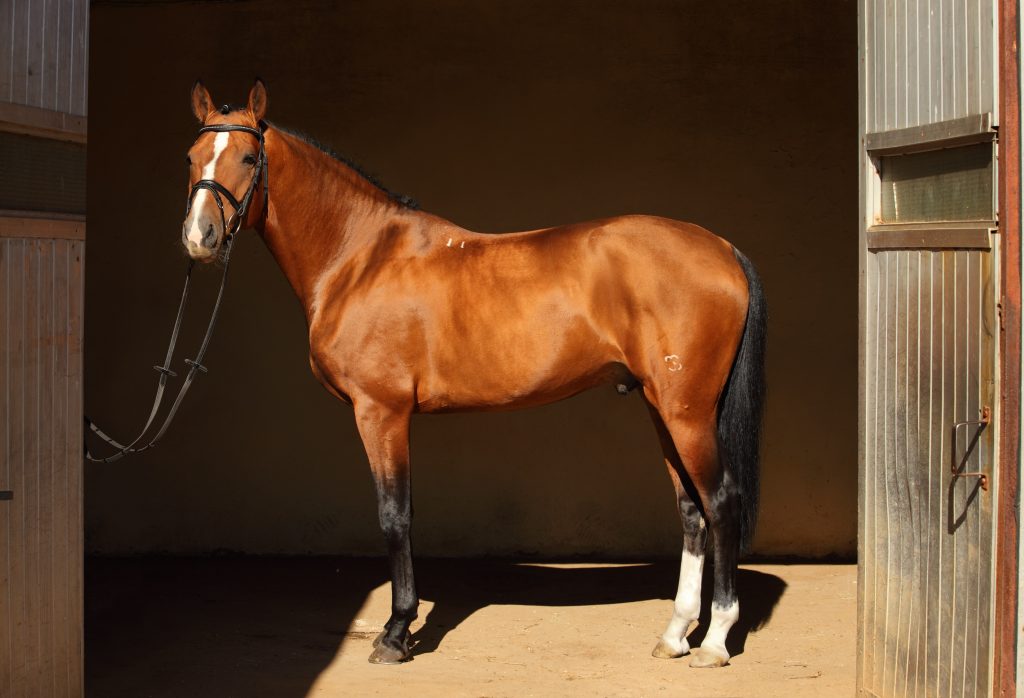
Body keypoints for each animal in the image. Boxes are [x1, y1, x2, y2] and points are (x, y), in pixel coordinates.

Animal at [181, 79, 766, 668]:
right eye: (191, 157)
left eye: (249, 157)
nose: (199, 237)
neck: (359, 258)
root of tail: (723, 249)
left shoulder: (382, 412)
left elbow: (395, 515)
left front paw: (397, 632)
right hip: (661, 406)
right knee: (691, 510)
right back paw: (675, 635)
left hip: (687, 412)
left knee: (721, 503)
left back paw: (715, 641)